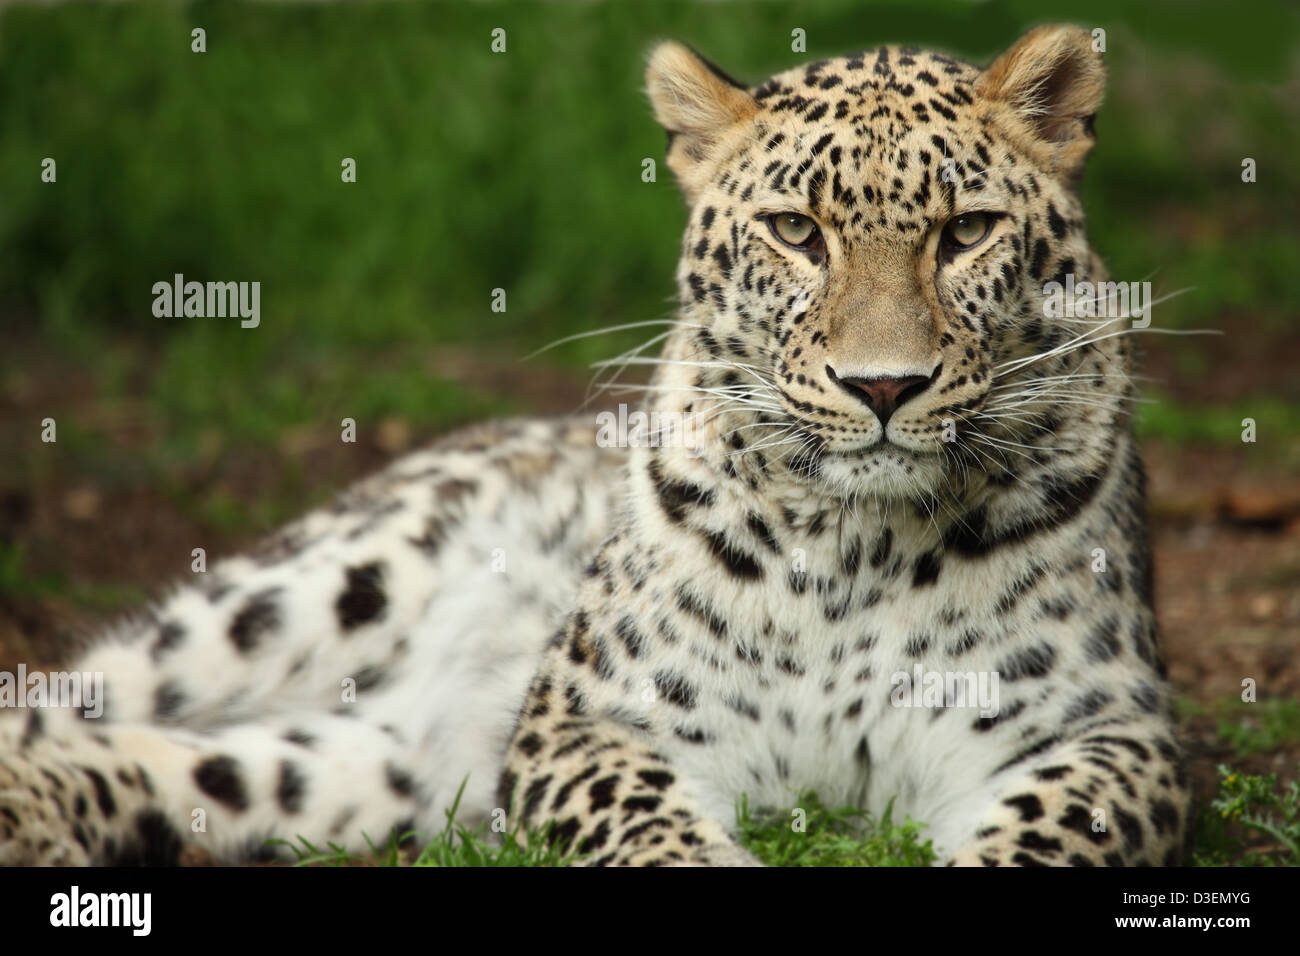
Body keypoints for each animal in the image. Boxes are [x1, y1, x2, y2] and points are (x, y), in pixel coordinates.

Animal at [0, 23, 1189, 867]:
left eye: (967, 231)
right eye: (796, 232)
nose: (884, 385)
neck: (862, 544)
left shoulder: (1105, 734)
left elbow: (1037, 837)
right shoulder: (590, 723)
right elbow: (654, 833)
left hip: (364, 768)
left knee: (188, 765)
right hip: (306, 591)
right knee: (66, 698)